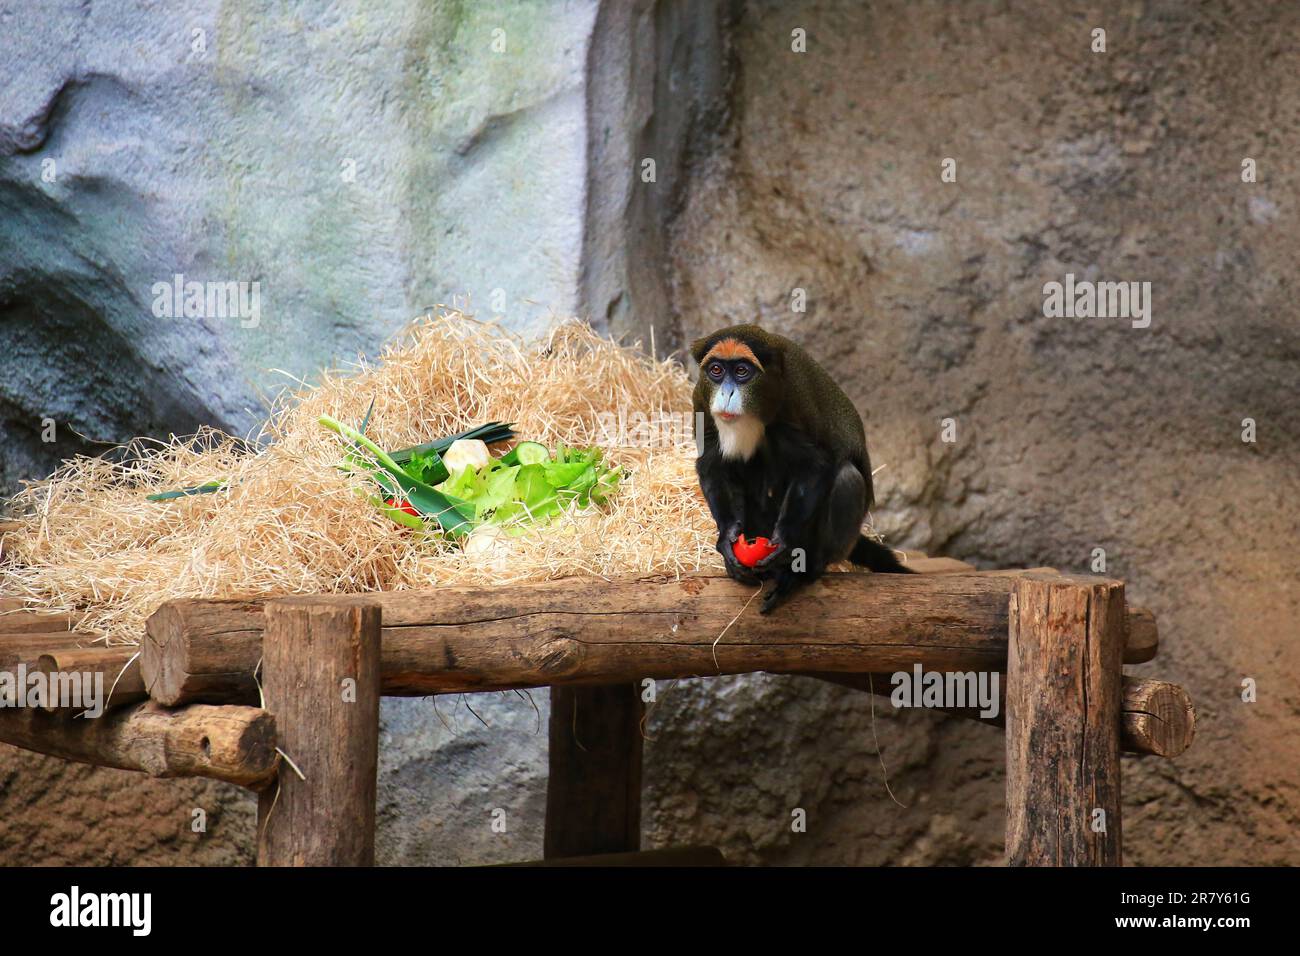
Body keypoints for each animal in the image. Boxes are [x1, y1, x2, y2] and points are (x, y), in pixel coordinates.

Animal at [691, 324, 910, 614]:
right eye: (716, 370)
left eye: (741, 372)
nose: (727, 394)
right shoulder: (700, 401)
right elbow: (712, 466)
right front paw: (727, 540)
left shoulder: (789, 401)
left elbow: (815, 464)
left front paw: (784, 542)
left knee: (847, 477)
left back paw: (804, 570)